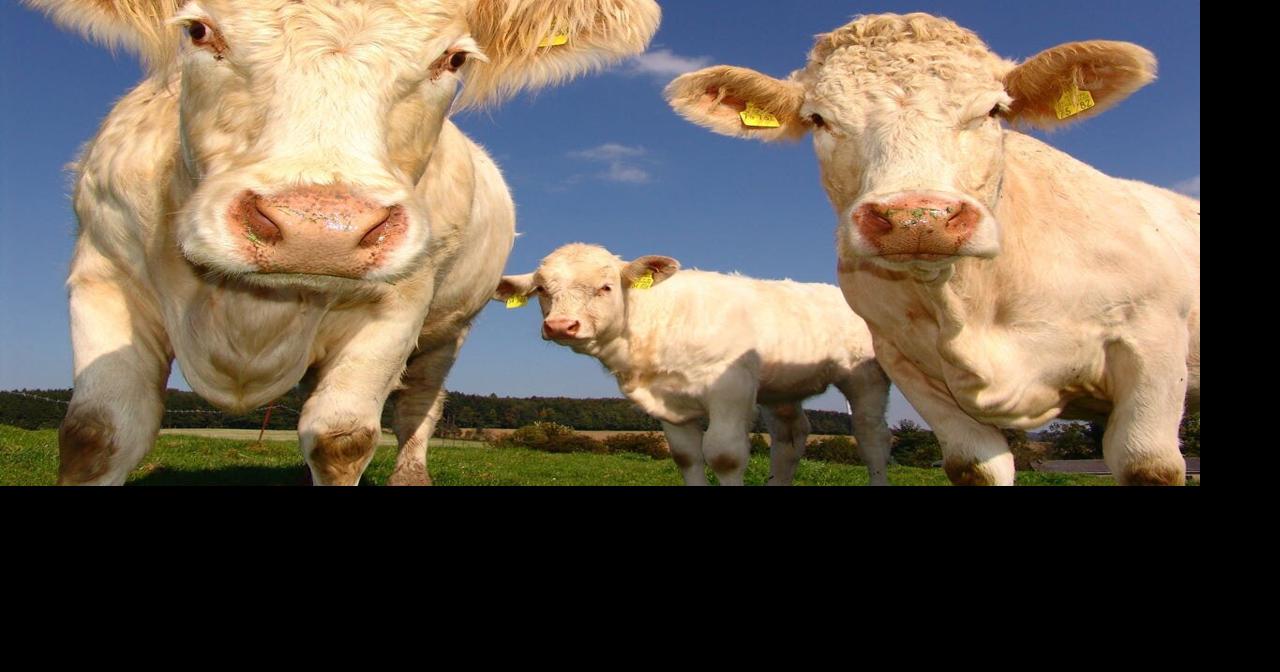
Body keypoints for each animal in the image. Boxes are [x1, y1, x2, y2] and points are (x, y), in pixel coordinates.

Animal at [26, 0, 661, 485]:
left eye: (453, 58)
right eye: (199, 30)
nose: (317, 228)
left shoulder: (398, 307)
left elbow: (342, 437)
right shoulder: (105, 273)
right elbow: (98, 431)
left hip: (445, 333)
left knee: (416, 410)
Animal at [494, 243, 893, 486]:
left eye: (606, 286)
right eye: (542, 290)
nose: (561, 325)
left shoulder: (731, 390)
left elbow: (724, 456)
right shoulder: (669, 404)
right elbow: (687, 457)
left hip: (866, 376)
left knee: (872, 436)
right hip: (781, 388)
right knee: (790, 438)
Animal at [665, 12, 1199, 485]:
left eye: (994, 111)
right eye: (818, 119)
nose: (917, 218)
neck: (974, 303)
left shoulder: (1151, 341)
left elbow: (1147, 464)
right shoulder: (910, 367)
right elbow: (974, 466)